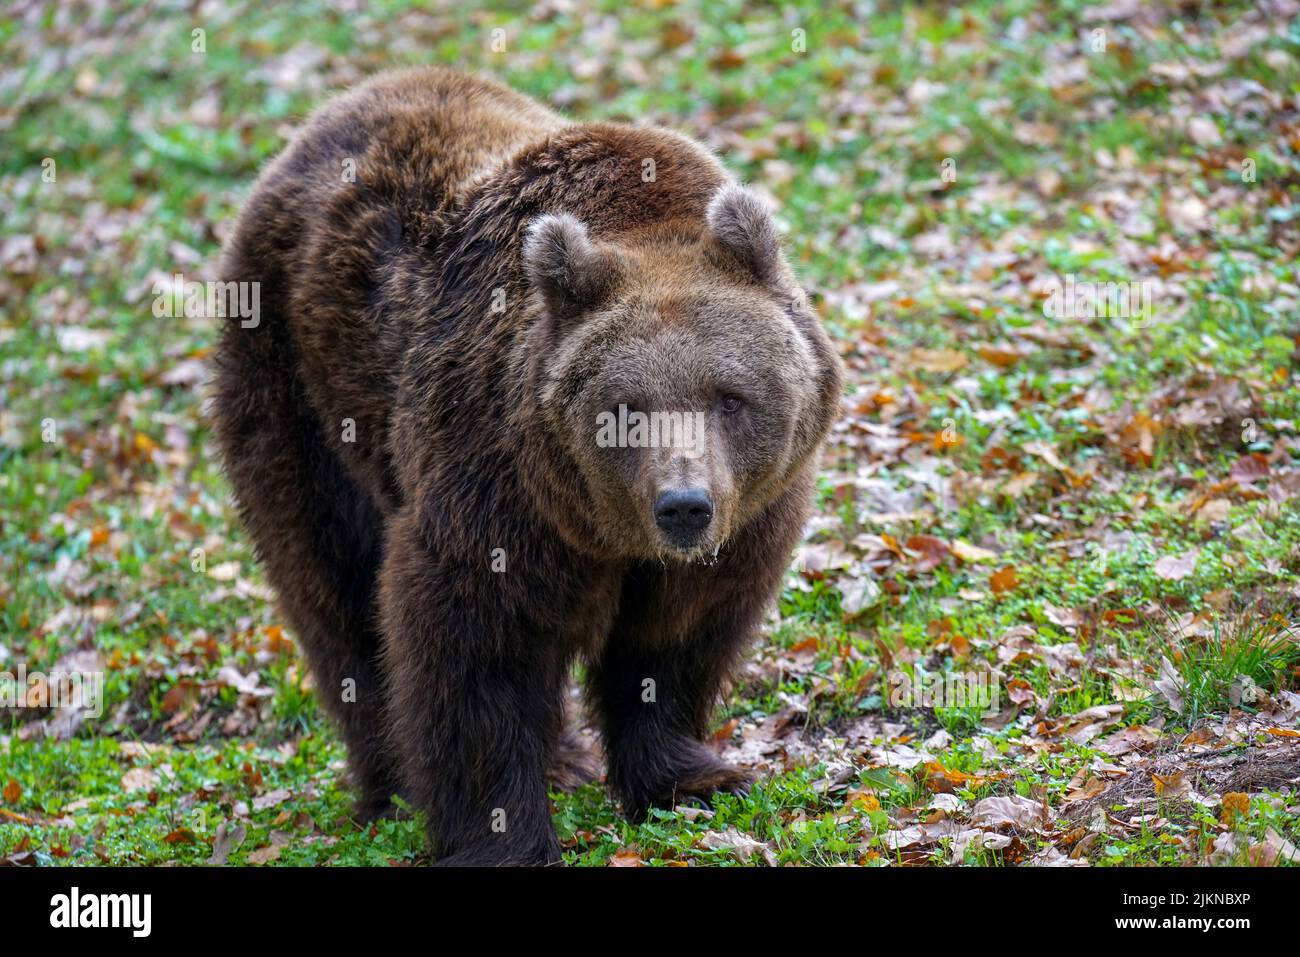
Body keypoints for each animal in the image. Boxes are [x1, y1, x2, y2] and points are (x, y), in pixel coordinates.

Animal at [211, 67, 842, 866]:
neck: (602, 525)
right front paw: (502, 834)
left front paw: (693, 778)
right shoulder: (499, 483)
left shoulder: (749, 514)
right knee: (336, 590)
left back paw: (562, 759)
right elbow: (477, 649)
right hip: (300, 397)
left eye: (729, 396)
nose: (683, 505)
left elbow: (678, 635)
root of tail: (317, 126)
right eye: (625, 408)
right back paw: (394, 784)